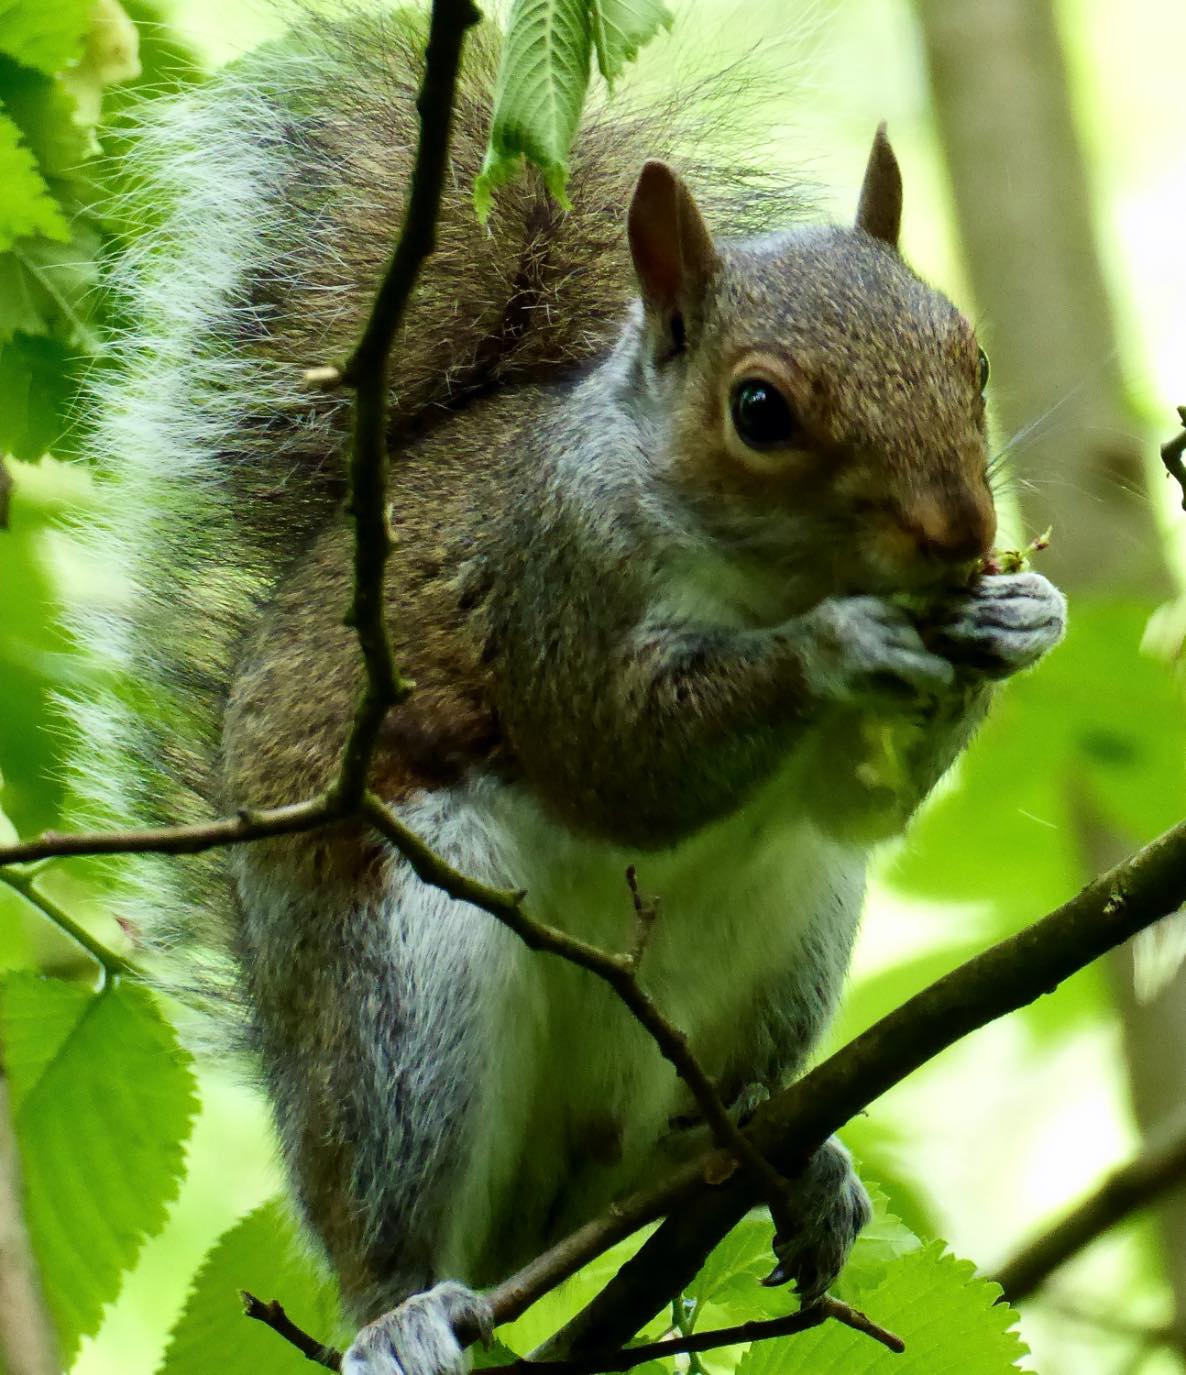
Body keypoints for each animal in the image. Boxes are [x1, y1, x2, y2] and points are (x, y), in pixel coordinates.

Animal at [68, 12, 1066, 1375]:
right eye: (761, 409)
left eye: (971, 355)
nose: (962, 534)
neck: (757, 570)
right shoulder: (552, 588)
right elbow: (623, 764)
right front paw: (835, 642)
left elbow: (866, 805)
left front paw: (1020, 615)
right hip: (399, 997)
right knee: (384, 1208)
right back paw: (399, 1314)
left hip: (794, 946)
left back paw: (787, 1171)